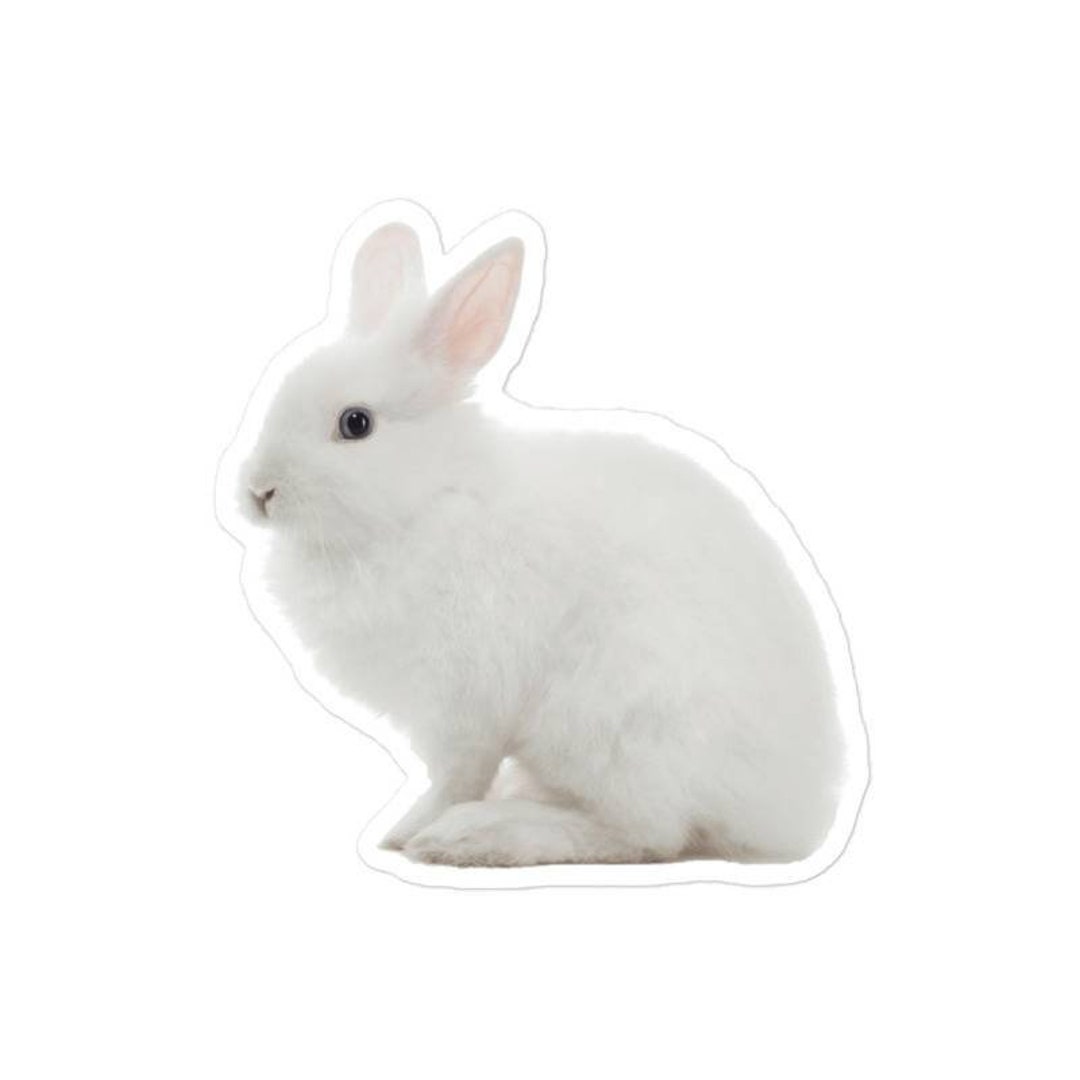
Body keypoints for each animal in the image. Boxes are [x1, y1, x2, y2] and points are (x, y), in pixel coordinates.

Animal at [231, 210, 852, 868]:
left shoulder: (465, 703)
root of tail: (790, 812)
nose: (258, 491)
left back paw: (482, 834)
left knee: (644, 833)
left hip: (609, 723)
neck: (430, 500)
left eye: (356, 423)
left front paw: (410, 832)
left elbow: (456, 775)